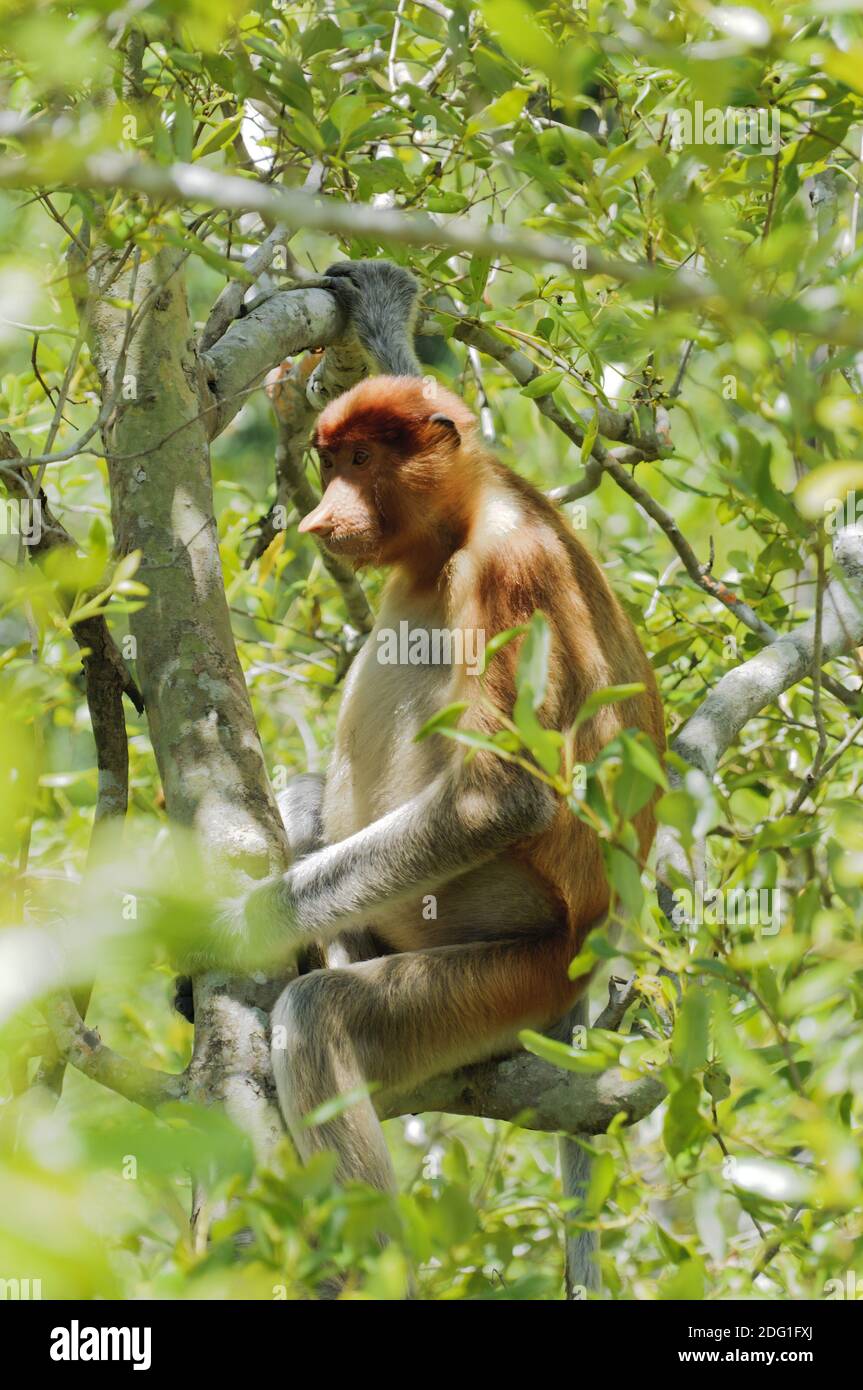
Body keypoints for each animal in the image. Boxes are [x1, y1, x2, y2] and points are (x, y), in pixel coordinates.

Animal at [215, 372, 665, 1194]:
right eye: (331, 463)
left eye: (363, 460)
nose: (322, 516)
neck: (454, 532)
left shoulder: (510, 570)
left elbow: (501, 798)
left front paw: (233, 923)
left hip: (509, 981)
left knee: (322, 1016)